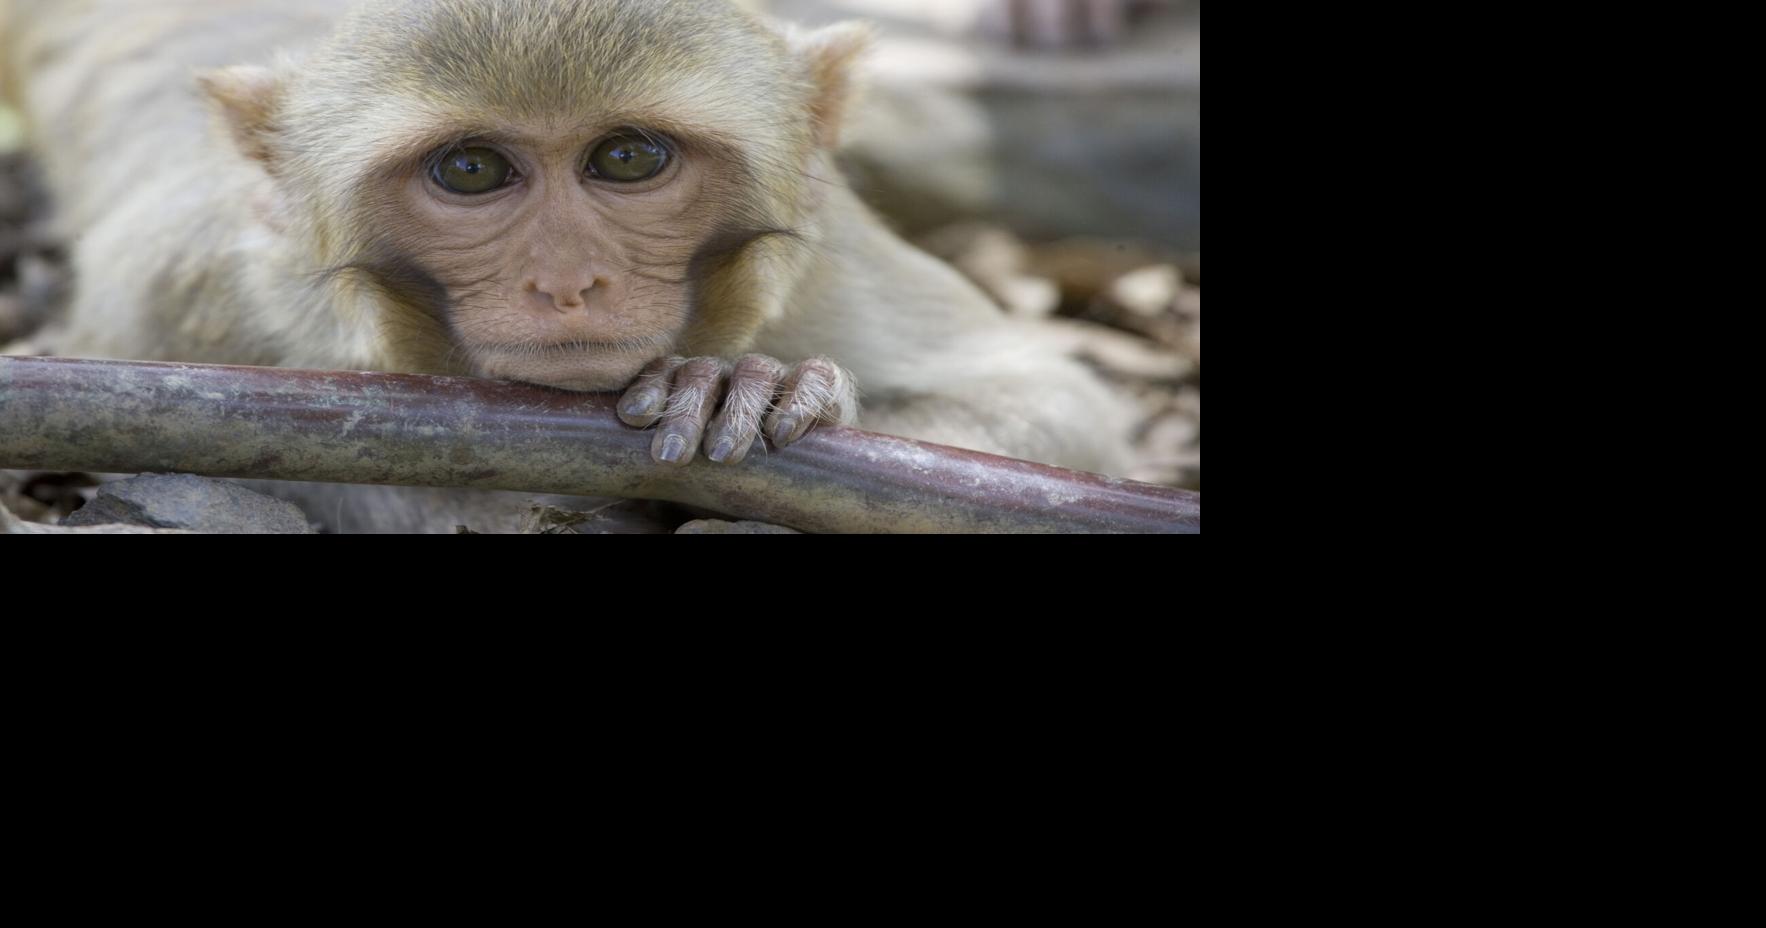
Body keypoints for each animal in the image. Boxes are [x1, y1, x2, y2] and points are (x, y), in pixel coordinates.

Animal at [1, 0, 1133, 492]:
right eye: (470, 171)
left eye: (626, 158)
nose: (567, 281)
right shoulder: (184, 299)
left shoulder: (826, 260)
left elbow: (1047, 400)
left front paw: (743, 387)